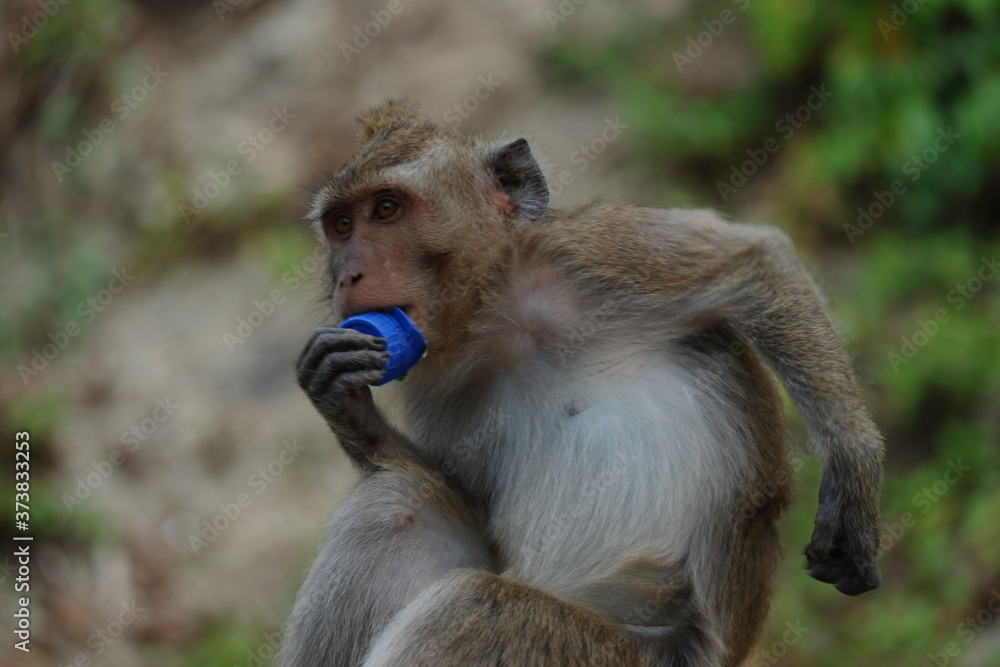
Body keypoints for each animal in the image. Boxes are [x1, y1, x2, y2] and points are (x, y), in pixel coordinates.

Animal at [277, 99, 883, 667]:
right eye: (341, 227)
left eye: (385, 209)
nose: (348, 275)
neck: (497, 318)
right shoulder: (435, 381)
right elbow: (461, 491)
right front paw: (344, 405)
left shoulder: (586, 252)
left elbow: (758, 262)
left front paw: (853, 471)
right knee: (397, 504)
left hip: (597, 651)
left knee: (470, 605)